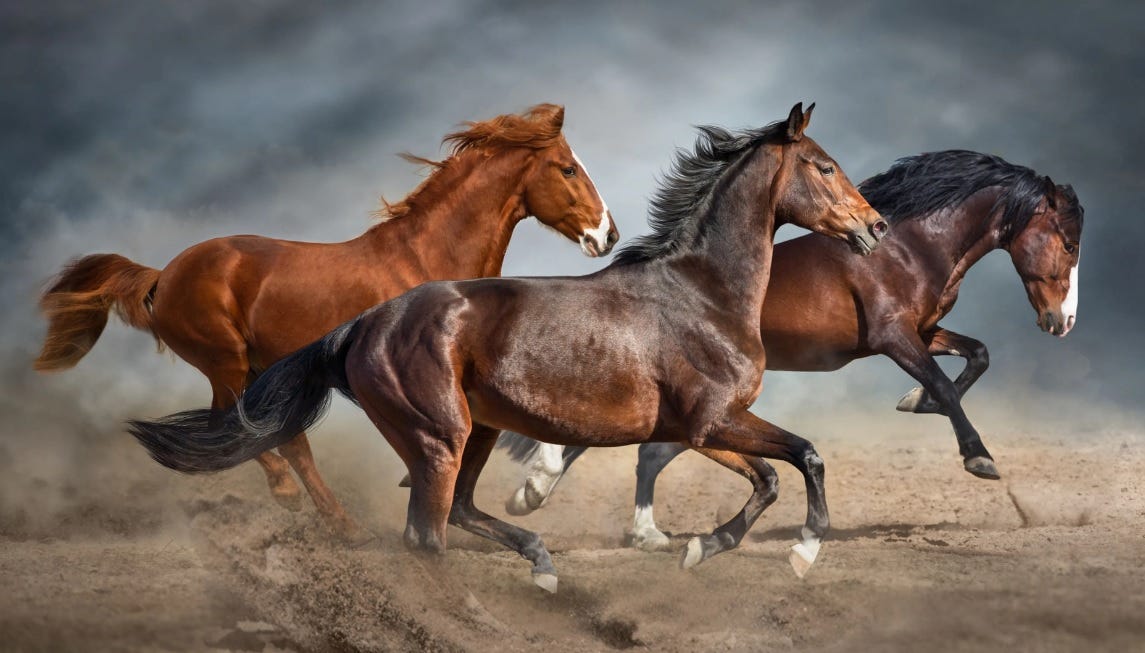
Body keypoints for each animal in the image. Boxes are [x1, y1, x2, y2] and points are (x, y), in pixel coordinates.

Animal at [34, 104, 618, 543]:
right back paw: (299, 502)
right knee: (239, 426)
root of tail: (164, 275)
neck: (428, 258)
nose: (607, 235)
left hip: (257, 367)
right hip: (226, 360)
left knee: (276, 435)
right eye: (568, 169)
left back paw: (337, 521)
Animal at [127, 102, 889, 590]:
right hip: (440, 436)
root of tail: (360, 325)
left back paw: (541, 564)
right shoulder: (714, 420)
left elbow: (767, 478)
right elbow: (806, 458)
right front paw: (802, 553)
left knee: (458, 511)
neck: (700, 291)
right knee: (425, 533)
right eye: (823, 166)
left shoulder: (699, 428)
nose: (876, 226)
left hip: (479, 430)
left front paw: (702, 547)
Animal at [497, 149, 1085, 551]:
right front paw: (978, 458)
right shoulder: (894, 336)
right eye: (1069, 243)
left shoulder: (925, 331)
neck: (909, 246)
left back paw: (634, 528)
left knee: (651, 451)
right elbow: (945, 383)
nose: (1063, 322)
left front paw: (914, 403)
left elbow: (977, 355)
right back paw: (539, 491)